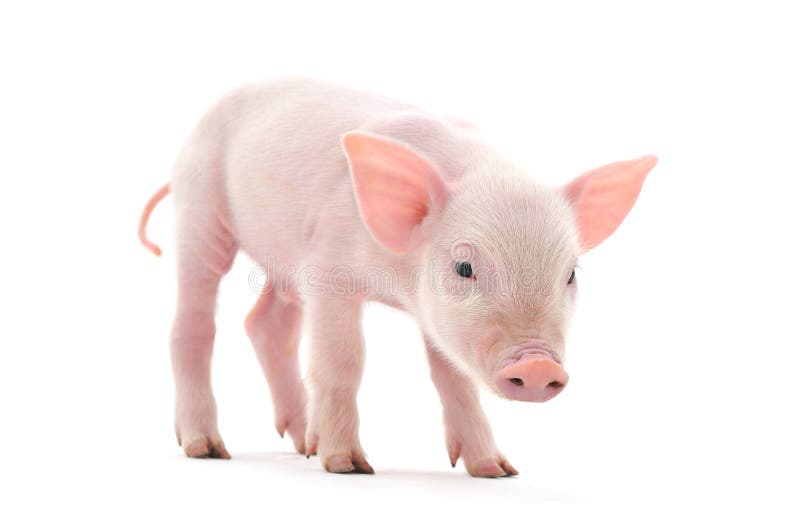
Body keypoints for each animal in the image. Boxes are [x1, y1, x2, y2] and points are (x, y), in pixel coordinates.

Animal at [139, 79, 656, 477]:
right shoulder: (327, 267)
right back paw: (208, 450)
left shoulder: (430, 314)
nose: (537, 366)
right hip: (199, 207)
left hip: (281, 256)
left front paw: (497, 471)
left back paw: (303, 444)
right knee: (193, 322)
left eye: (570, 274)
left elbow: (452, 378)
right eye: (464, 266)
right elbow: (342, 360)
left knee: (266, 324)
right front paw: (348, 465)